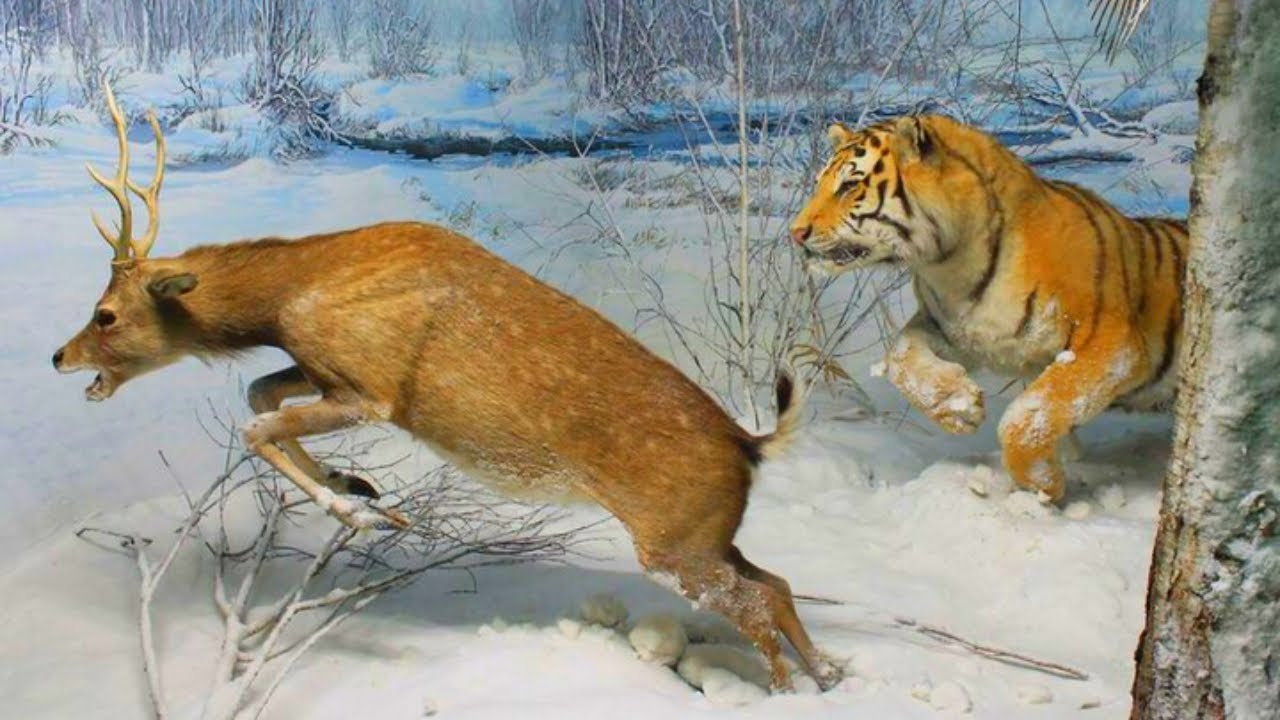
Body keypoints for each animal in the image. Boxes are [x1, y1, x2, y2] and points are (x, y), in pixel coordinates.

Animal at [51, 83, 841, 692]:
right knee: (775, 584)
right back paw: (830, 674)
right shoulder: (319, 366)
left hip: (673, 542)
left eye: (106, 313)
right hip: (706, 535)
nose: (60, 357)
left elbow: (258, 422)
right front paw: (360, 486)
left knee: (752, 603)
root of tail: (750, 444)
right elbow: (260, 396)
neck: (291, 294)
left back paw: (787, 686)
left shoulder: (371, 386)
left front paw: (363, 510)